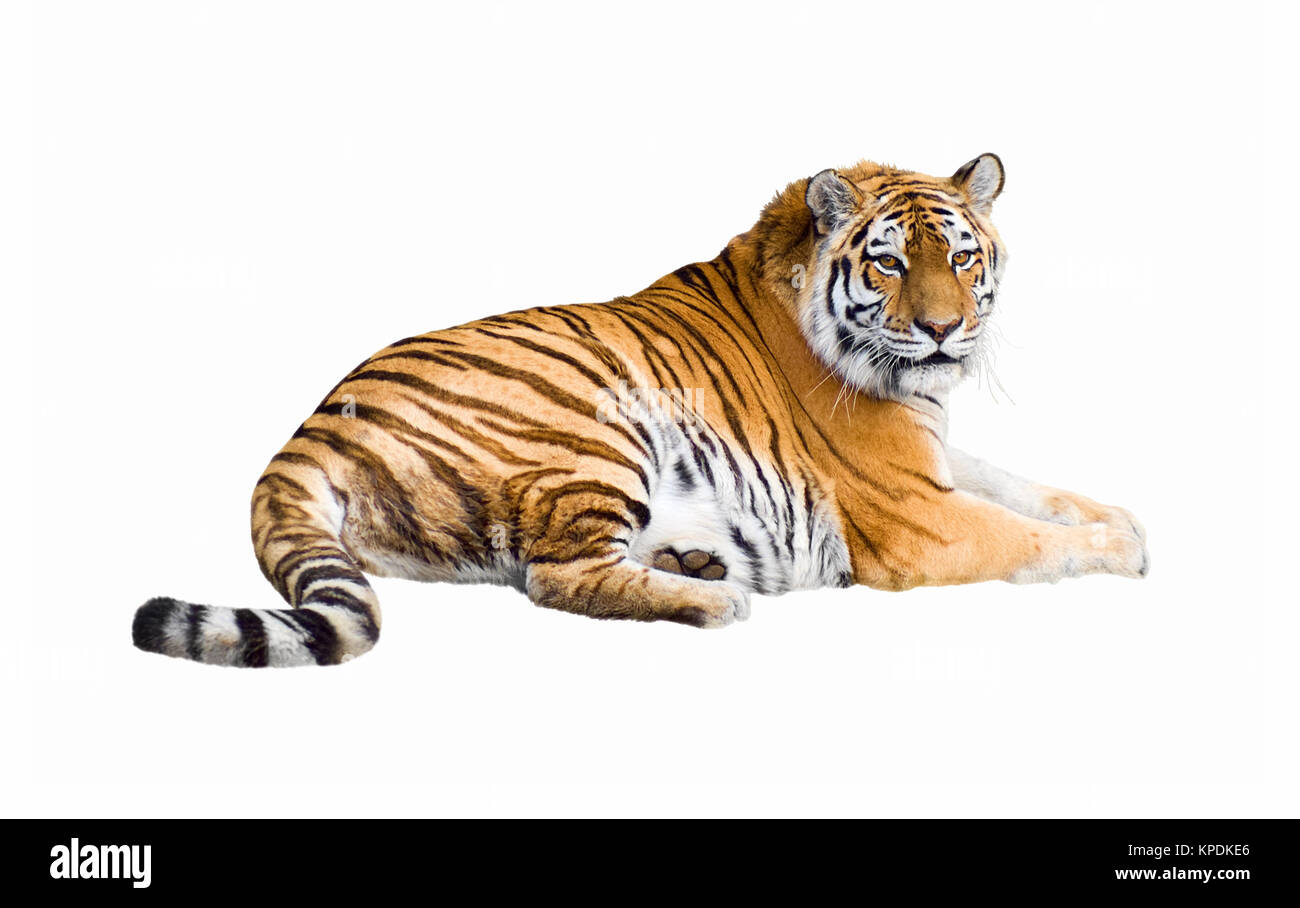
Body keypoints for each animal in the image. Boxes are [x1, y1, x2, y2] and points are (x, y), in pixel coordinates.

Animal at [132, 153, 1149, 668]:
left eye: (964, 257)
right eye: (891, 263)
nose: (944, 330)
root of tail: (309, 427)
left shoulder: (935, 460)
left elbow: (1029, 488)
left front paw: (1120, 515)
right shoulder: (917, 516)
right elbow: (1030, 539)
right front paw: (1123, 550)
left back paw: (696, 559)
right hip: (594, 429)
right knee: (556, 578)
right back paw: (715, 597)